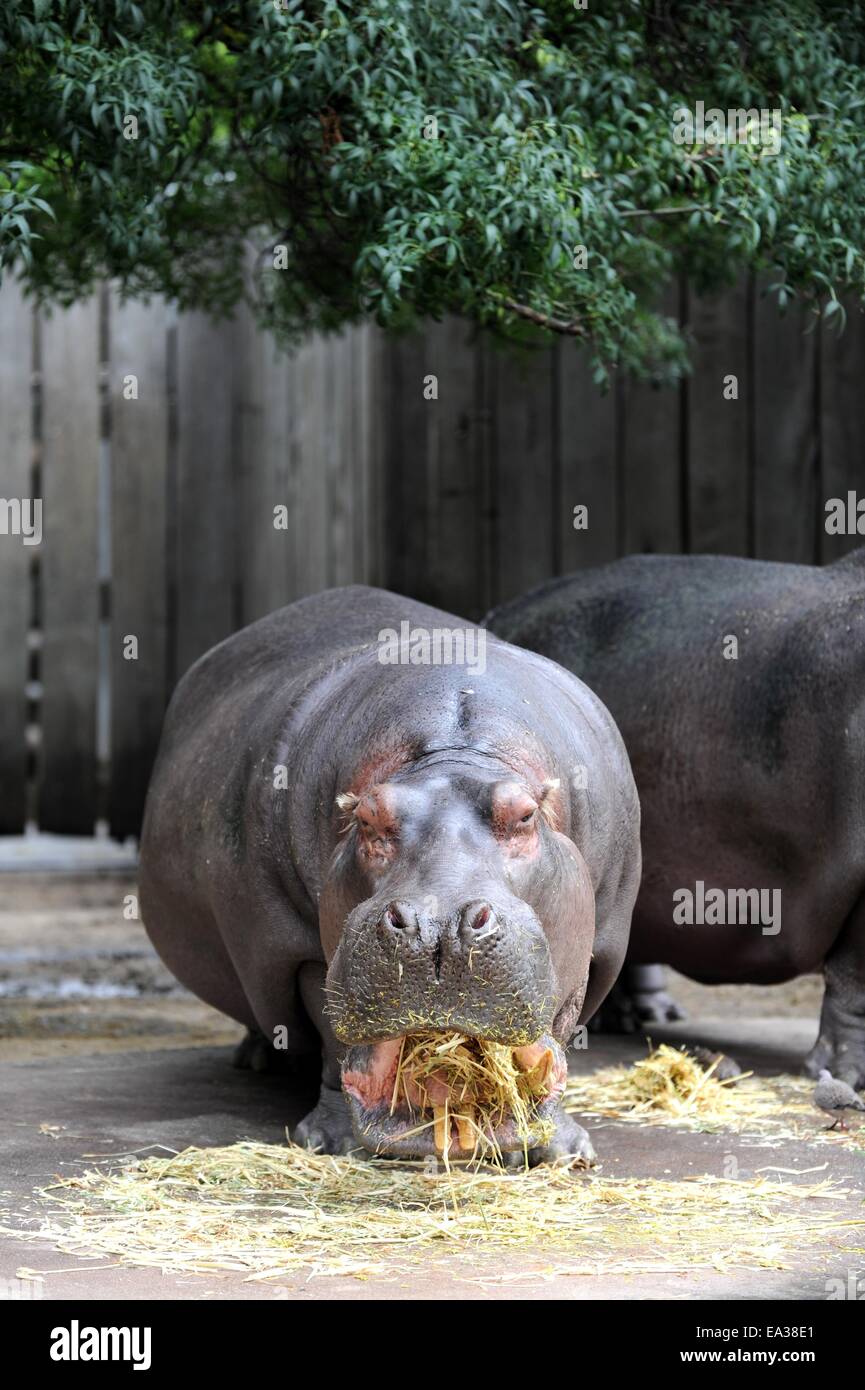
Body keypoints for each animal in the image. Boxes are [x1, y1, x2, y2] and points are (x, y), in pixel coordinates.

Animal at [139, 586, 641, 1161]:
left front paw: (565, 1151)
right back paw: (259, 1058)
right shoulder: (301, 945)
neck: (456, 752)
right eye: (366, 816)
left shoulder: (592, 949)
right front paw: (330, 1142)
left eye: (524, 815)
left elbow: (564, 1027)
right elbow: (332, 1038)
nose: (438, 926)